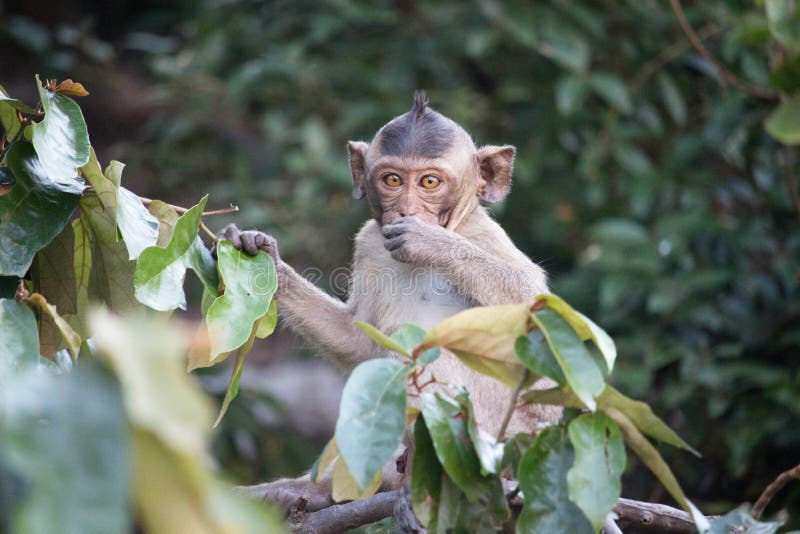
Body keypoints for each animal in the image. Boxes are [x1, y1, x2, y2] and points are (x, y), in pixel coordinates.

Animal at [221, 91, 560, 511]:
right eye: (392, 180)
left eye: (429, 181)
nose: (406, 211)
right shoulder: (368, 243)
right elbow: (357, 340)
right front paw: (267, 263)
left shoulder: (482, 235)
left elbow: (535, 302)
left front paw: (432, 243)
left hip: (505, 428)